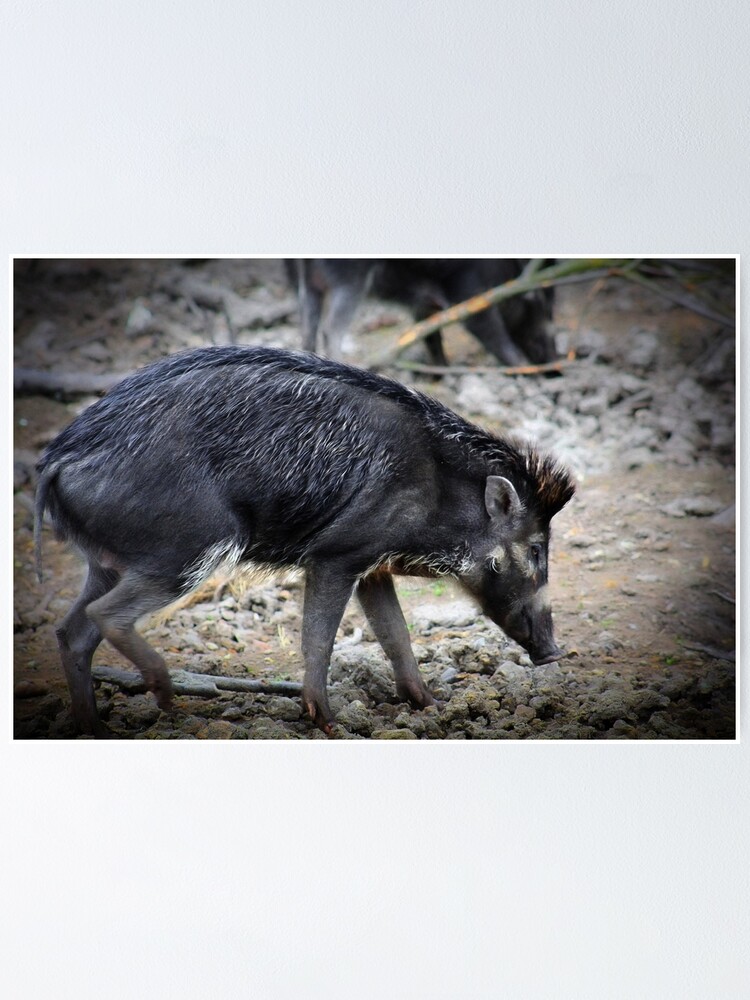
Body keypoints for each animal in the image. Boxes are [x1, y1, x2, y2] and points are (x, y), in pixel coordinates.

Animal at [34, 346, 575, 736]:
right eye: (535, 549)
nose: (554, 653)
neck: (437, 488)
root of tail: (58, 460)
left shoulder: (373, 568)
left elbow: (396, 636)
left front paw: (431, 704)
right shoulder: (334, 555)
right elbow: (320, 639)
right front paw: (329, 723)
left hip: (106, 561)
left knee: (71, 630)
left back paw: (95, 728)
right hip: (185, 549)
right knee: (106, 616)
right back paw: (166, 699)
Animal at [285, 258, 557, 367]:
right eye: (541, 306)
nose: (554, 363)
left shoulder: (424, 304)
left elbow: (429, 333)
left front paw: (443, 369)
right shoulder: (470, 291)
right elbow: (487, 327)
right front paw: (522, 367)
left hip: (307, 282)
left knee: (307, 323)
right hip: (349, 280)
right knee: (331, 327)